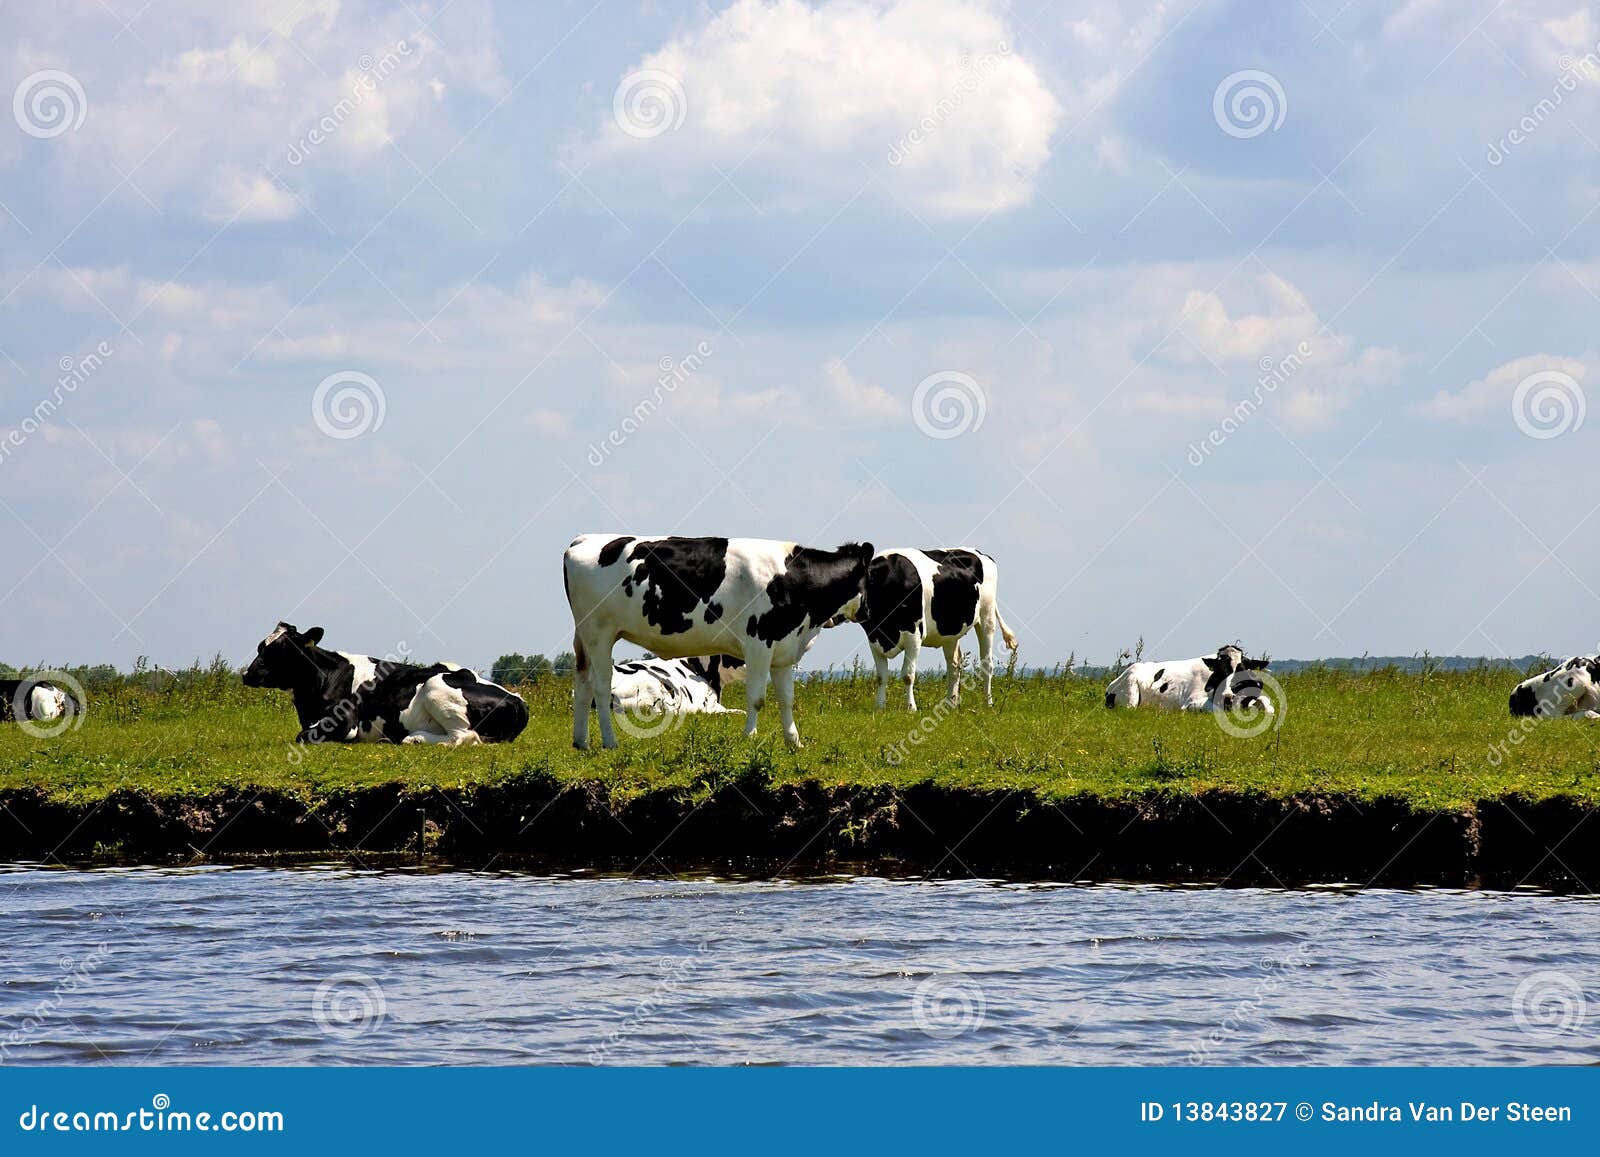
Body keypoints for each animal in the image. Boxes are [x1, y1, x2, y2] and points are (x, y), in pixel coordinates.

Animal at [241, 622, 528, 746]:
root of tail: (517, 699)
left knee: (464, 737)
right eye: (260, 646)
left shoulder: (345, 723)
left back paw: (414, 738)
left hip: (436, 688)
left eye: (282, 650)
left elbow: (303, 735)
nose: (246, 674)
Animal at [563, 535, 874, 748]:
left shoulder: (783, 651)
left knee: (583, 682)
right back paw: (609, 742)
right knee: (599, 687)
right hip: (599, 633)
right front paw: (750, 737)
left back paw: (581, 742)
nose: (868, 612)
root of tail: (584, 539)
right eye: (870, 577)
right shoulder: (758, 644)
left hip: (585, 637)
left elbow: (786, 700)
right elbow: (757, 698)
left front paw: (794, 742)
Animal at [853, 548, 1018, 711]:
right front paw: (879, 708)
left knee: (986, 663)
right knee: (954, 665)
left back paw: (987, 704)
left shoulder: (914, 636)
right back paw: (951, 703)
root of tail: (979, 552)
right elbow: (881, 676)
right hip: (951, 632)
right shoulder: (874, 637)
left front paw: (911, 708)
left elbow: (908, 675)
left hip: (986, 616)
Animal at [1104, 644, 1274, 714]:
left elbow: (1266, 704)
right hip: (1130, 695)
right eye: (1219, 671)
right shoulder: (1191, 703)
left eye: (1241, 670)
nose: (1227, 697)